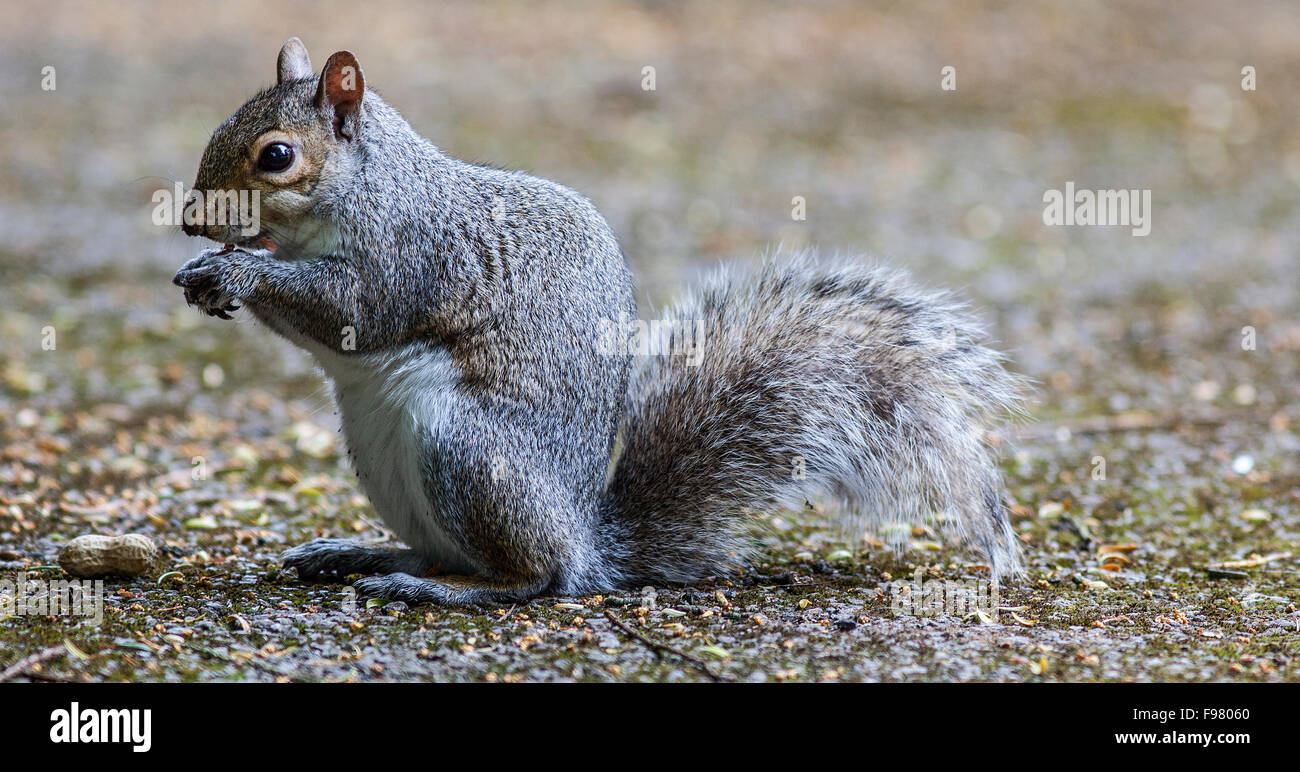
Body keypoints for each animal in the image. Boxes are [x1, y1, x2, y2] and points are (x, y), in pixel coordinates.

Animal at [174, 38, 1027, 605]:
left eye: (277, 156)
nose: (189, 222)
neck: (366, 188)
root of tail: (589, 544)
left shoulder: (412, 256)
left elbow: (356, 312)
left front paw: (236, 270)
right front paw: (206, 275)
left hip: (468, 451)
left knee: (530, 579)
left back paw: (442, 590)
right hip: (387, 460)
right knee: (445, 552)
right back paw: (360, 555)